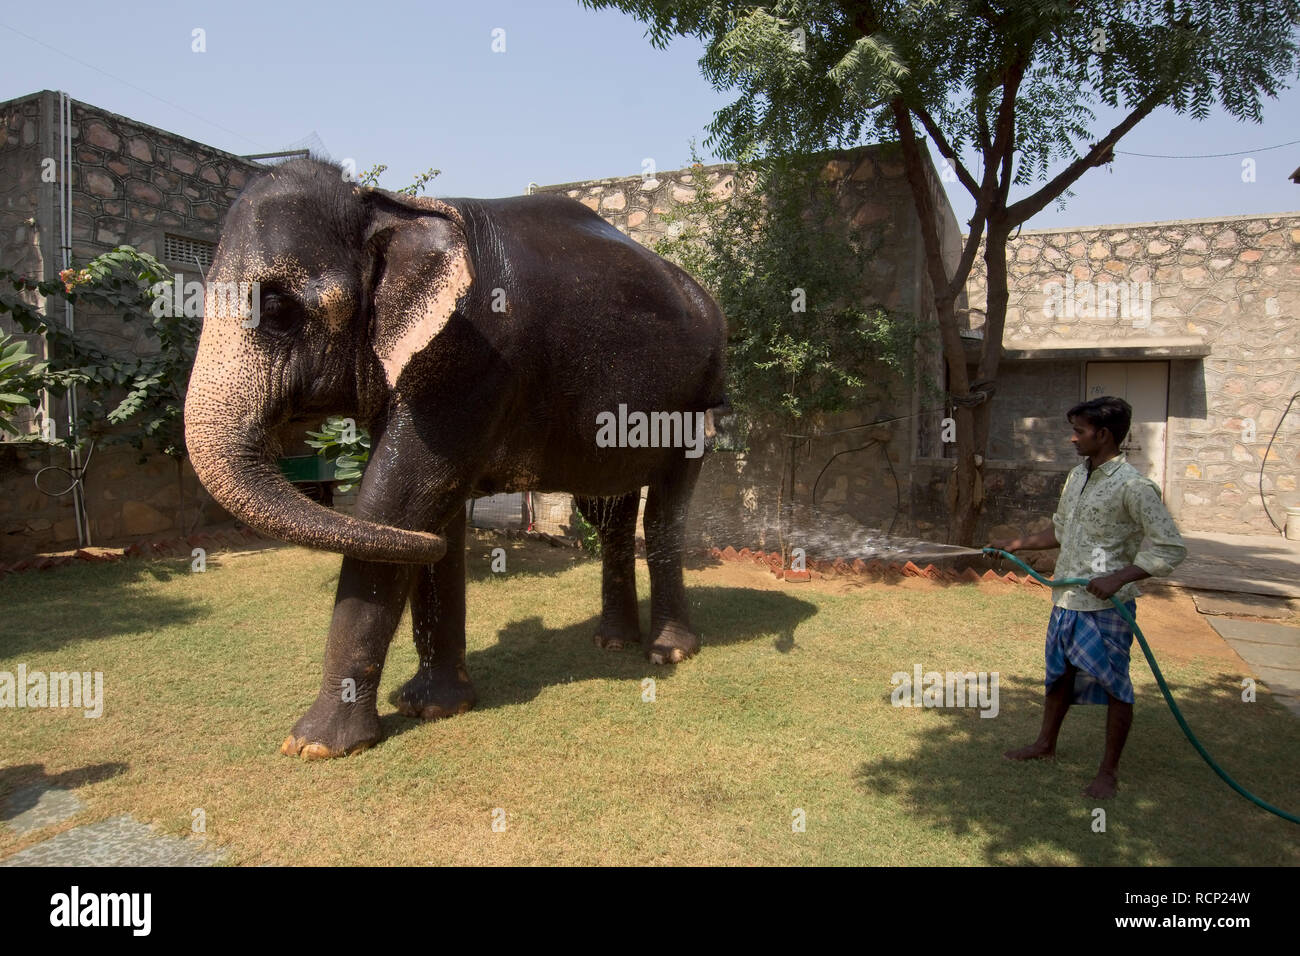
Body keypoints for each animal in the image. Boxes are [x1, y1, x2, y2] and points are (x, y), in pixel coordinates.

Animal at [184, 158, 728, 759]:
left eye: (277, 308)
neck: (389, 207)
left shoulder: (471, 358)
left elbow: (397, 502)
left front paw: (315, 747)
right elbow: (431, 507)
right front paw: (433, 706)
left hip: (699, 396)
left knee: (664, 510)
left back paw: (668, 651)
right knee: (608, 512)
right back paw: (611, 642)